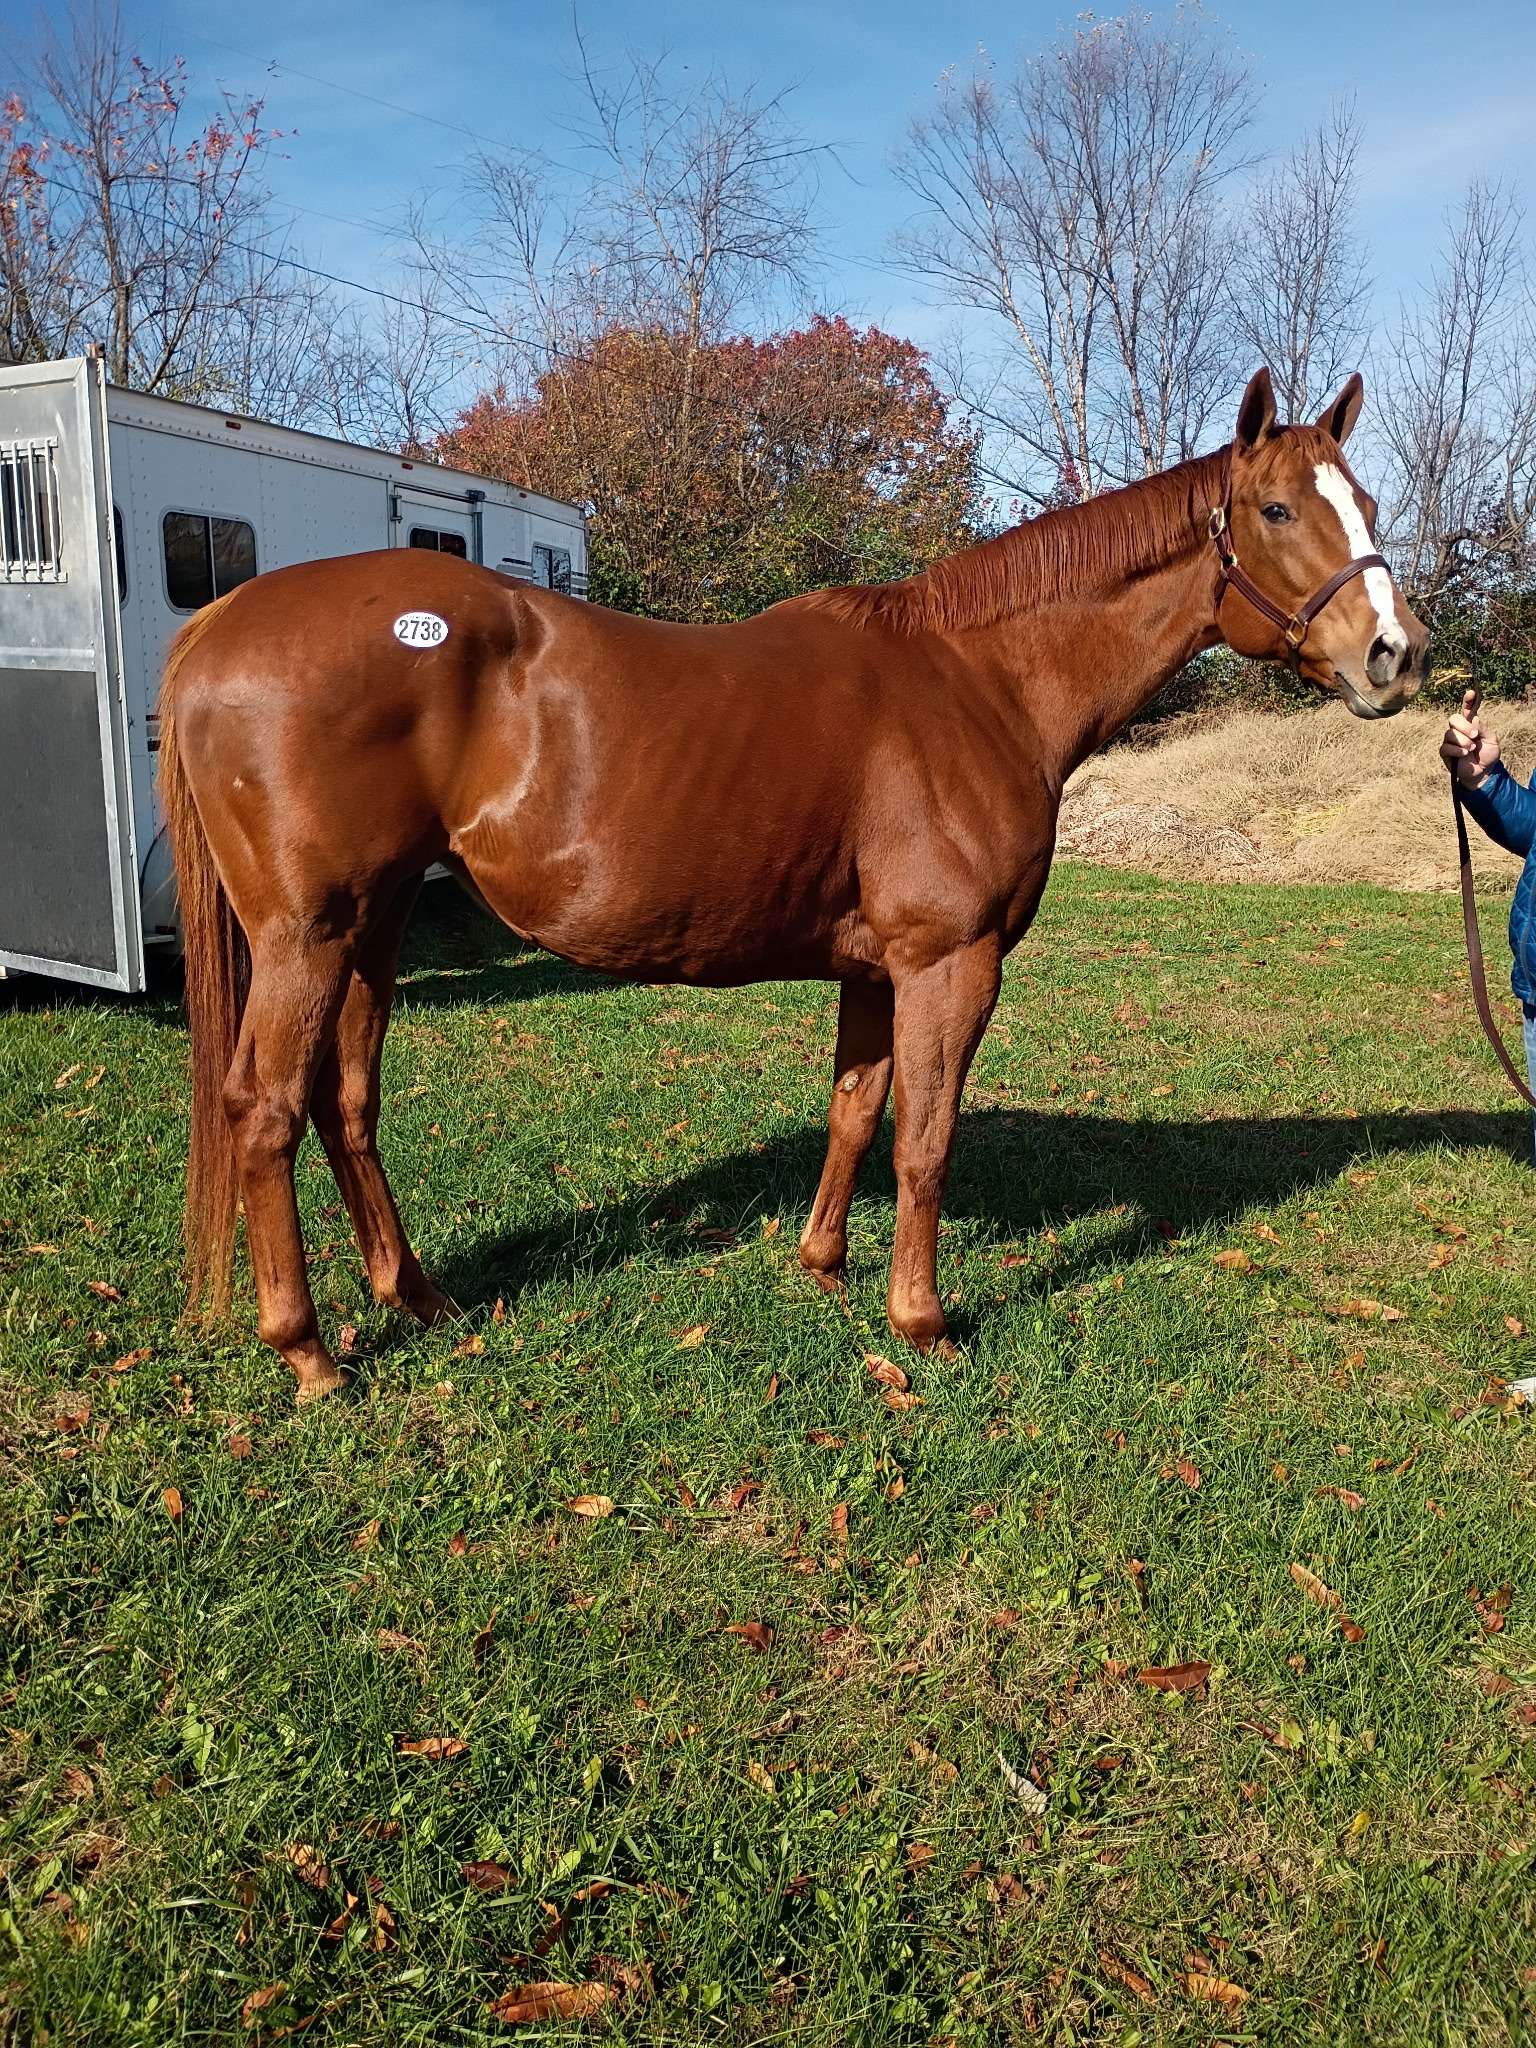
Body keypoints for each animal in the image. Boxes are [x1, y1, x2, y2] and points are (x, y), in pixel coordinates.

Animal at [158, 368, 1428, 1403]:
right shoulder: (950, 960)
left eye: (1367, 503)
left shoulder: (877, 965)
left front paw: (822, 1268)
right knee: (264, 1109)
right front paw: (922, 1321)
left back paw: (414, 1297)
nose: (1397, 656)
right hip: (308, 933)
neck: (979, 680)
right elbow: (925, 1138)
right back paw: (308, 1351)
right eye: (1279, 509)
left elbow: (858, 1110)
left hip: (371, 928)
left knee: (345, 1100)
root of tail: (221, 621)